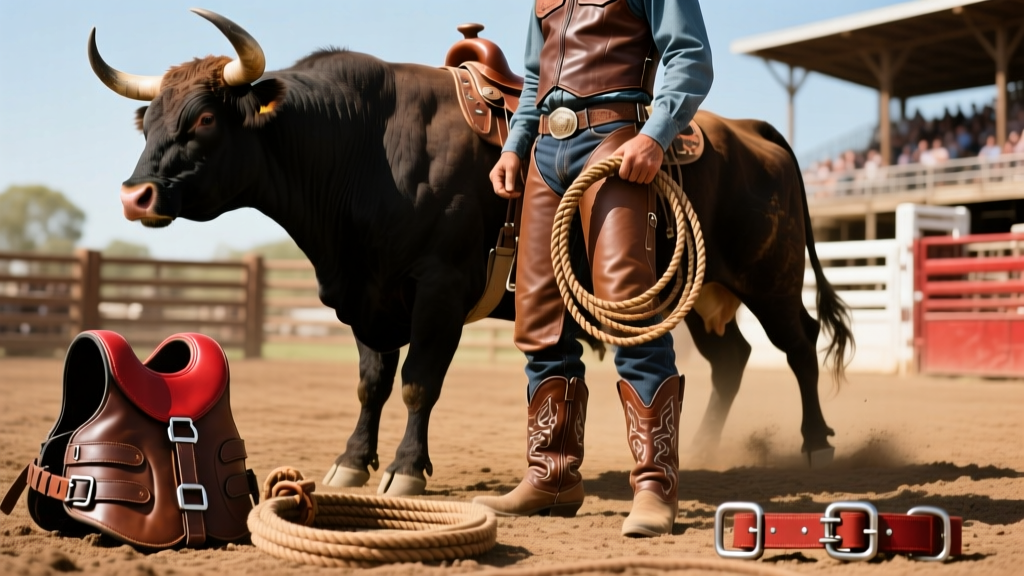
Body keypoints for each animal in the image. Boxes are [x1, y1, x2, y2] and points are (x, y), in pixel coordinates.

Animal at [89, 9, 852, 495]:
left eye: (204, 119)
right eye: (148, 121)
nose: (135, 195)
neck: (364, 144)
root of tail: (751, 130)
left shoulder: (440, 289)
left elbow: (418, 382)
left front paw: (405, 470)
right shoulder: (368, 295)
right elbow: (371, 384)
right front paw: (351, 463)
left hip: (769, 275)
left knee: (798, 343)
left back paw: (817, 443)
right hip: (696, 292)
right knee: (732, 359)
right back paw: (702, 447)